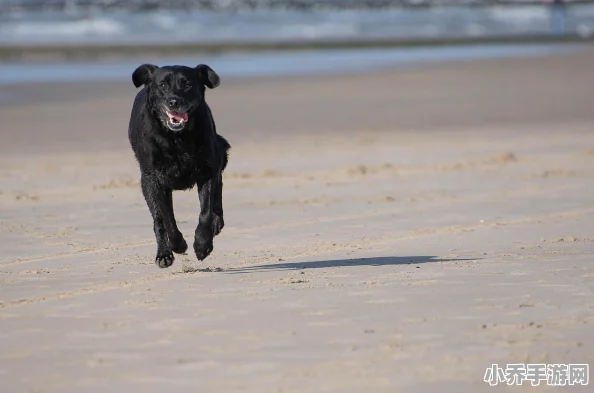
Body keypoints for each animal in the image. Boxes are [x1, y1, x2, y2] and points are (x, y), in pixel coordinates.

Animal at [128, 62, 230, 268]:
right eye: (163, 85)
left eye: (187, 84)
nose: (174, 102)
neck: (177, 138)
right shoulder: (154, 180)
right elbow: (166, 218)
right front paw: (178, 245)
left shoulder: (207, 171)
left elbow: (205, 212)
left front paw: (202, 245)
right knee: (158, 220)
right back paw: (164, 254)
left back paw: (216, 223)